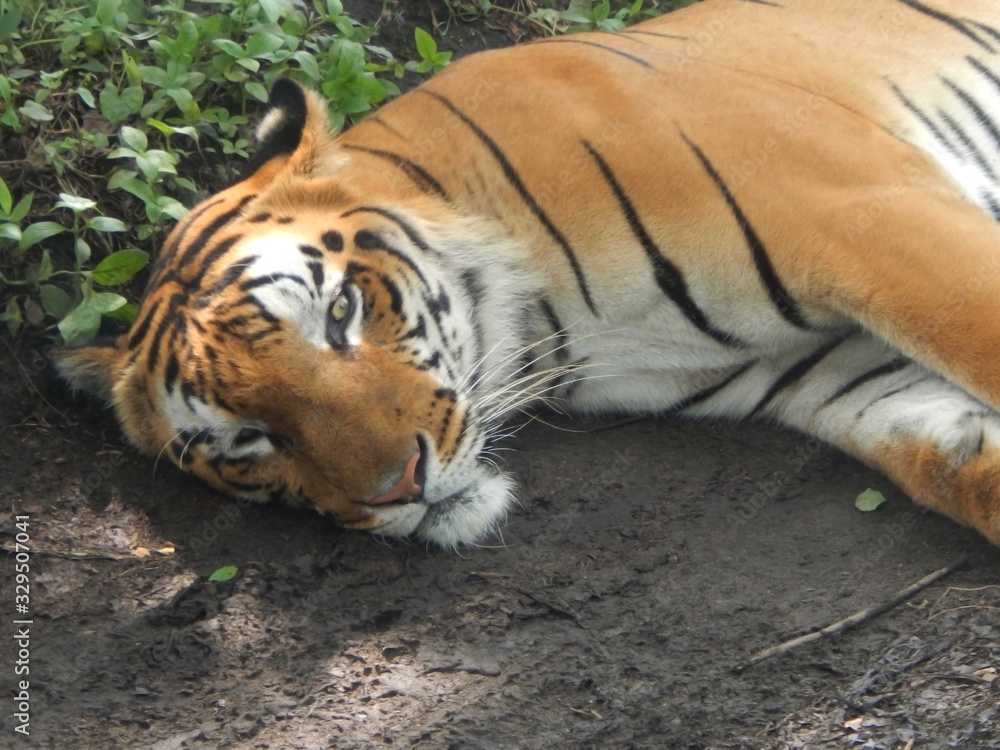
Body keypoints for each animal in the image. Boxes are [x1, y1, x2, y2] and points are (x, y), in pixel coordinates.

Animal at [56, 0, 1000, 548]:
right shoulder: (834, 371)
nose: (400, 487)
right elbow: (956, 462)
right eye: (249, 440)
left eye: (341, 313)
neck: (556, 328)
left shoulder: (860, 213)